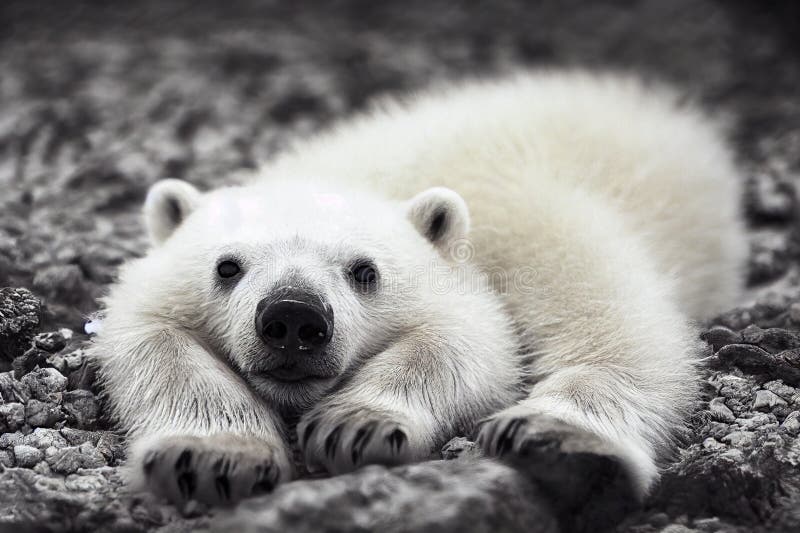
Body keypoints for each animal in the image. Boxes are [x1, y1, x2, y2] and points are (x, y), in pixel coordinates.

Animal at [92, 71, 746, 509]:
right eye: (227, 267)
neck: (377, 177)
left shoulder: (530, 218)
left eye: (365, 271)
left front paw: (358, 425)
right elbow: (155, 339)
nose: (295, 319)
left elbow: (580, 319)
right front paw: (209, 456)